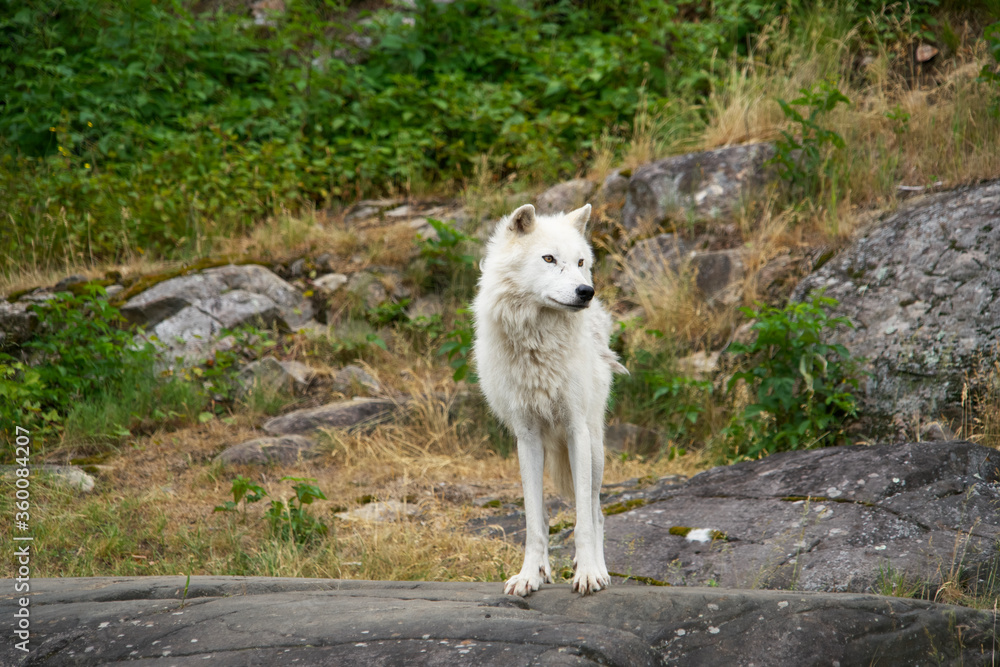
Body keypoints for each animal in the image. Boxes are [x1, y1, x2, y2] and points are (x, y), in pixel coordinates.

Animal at [472, 202, 627, 596]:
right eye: (548, 258)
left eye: (580, 262)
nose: (586, 291)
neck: (537, 343)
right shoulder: (526, 437)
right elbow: (533, 521)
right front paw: (529, 575)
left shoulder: (575, 431)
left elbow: (583, 521)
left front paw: (587, 574)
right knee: (543, 514)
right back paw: (542, 570)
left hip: (595, 451)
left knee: (597, 511)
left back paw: (600, 569)